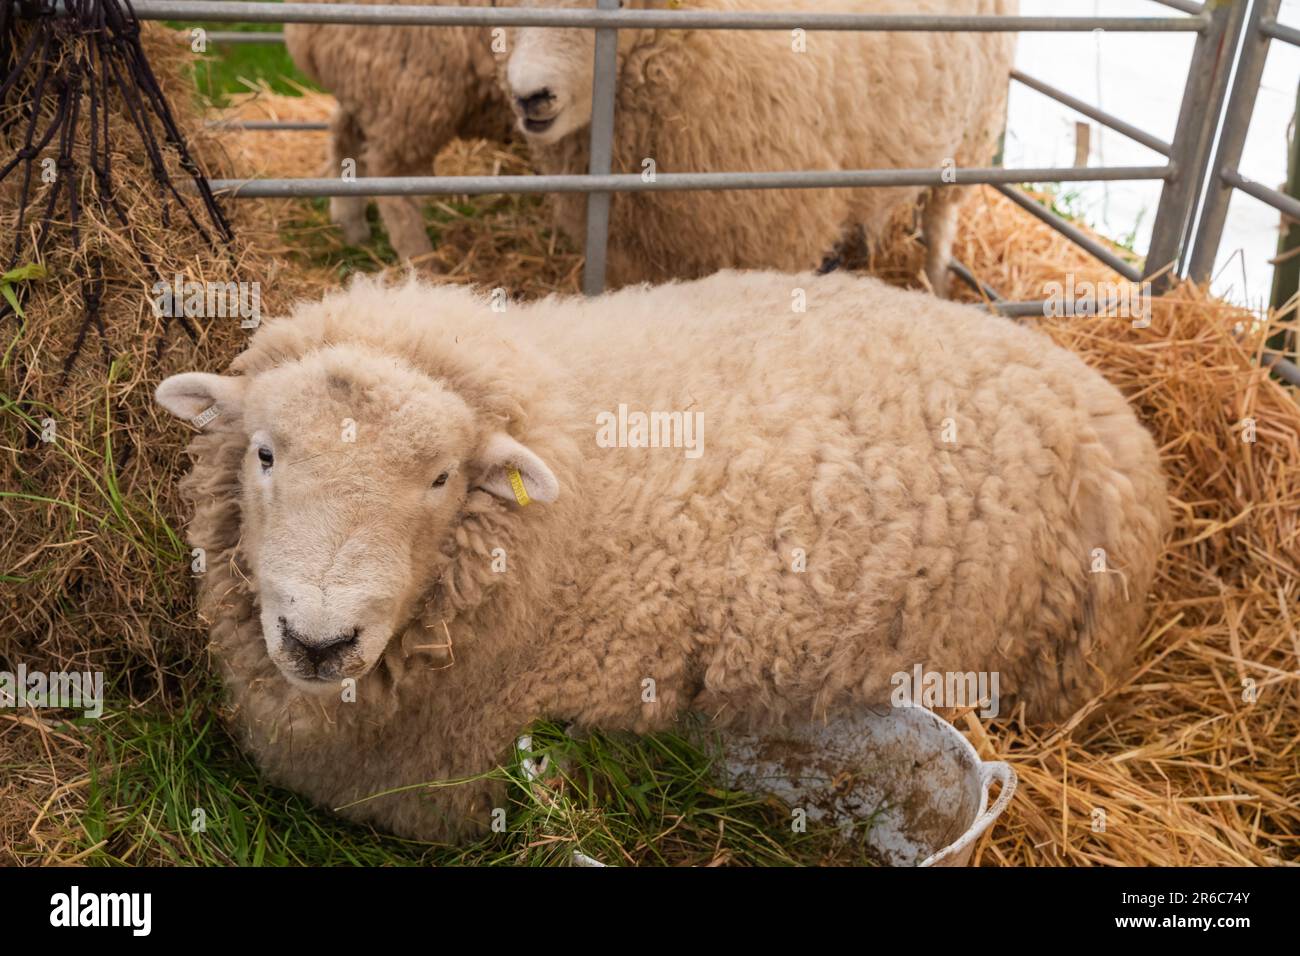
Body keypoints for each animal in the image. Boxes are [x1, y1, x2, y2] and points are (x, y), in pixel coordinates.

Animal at [283, 0, 515, 262]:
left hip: (367, 91)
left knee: (344, 140)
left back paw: (353, 229)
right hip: (412, 95)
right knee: (393, 181)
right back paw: (422, 261)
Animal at [505, 0, 1019, 293]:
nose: (529, 95)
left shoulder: (778, 240)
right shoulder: (627, 252)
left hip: (973, 134)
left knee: (940, 221)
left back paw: (936, 283)